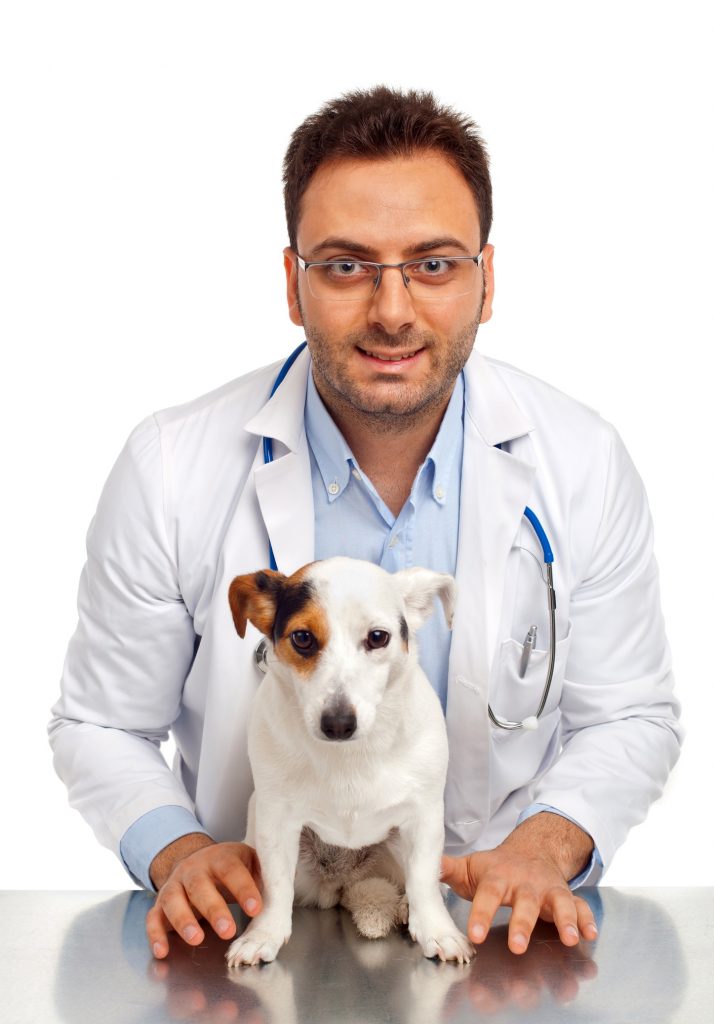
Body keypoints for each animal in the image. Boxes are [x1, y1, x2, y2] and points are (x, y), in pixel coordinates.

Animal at [225, 557, 475, 962]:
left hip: (395, 846)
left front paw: (437, 930)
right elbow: (275, 886)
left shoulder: (423, 816)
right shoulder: (276, 820)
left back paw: (405, 907)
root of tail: (343, 883)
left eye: (378, 637)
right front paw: (264, 933)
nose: (339, 723)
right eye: (302, 638)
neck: (348, 756)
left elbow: (423, 879)